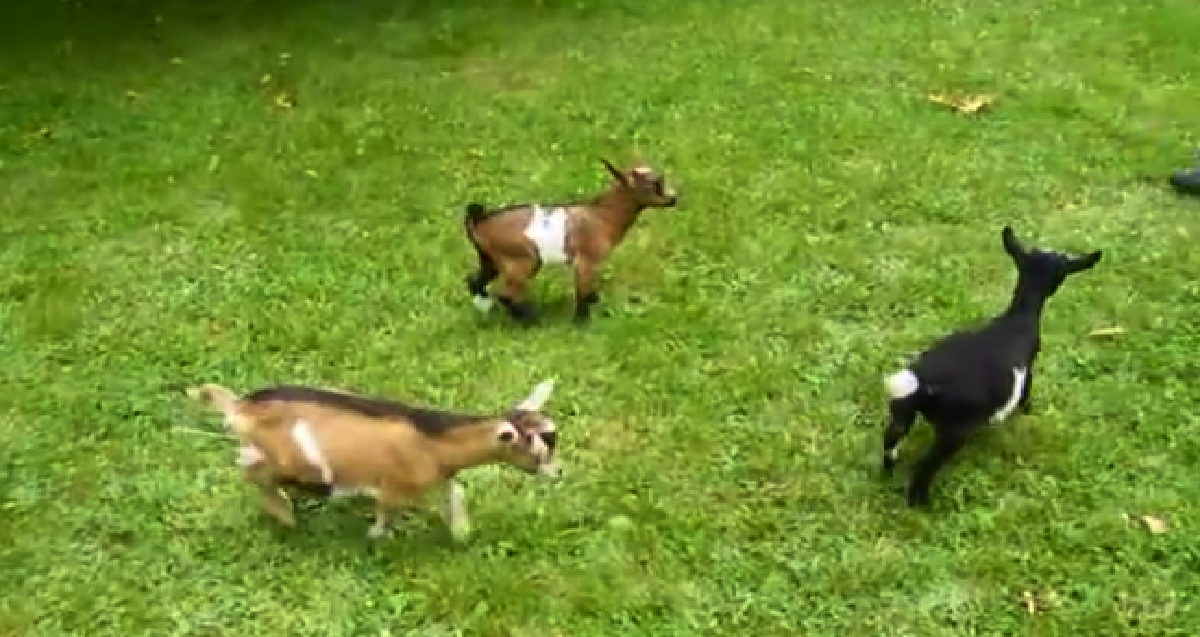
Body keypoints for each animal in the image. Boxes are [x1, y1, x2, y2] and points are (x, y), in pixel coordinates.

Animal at [186, 378, 561, 541]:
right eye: (537, 450)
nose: (558, 472)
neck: (433, 440)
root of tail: (240, 408)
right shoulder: (397, 486)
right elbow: (385, 511)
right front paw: (375, 536)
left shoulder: (440, 476)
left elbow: (456, 493)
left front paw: (461, 532)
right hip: (295, 462)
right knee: (253, 470)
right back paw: (285, 514)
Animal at [462, 158, 678, 325]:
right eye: (655, 185)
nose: (674, 198)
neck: (602, 215)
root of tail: (479, 220)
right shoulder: (585, 261)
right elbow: (582, 293)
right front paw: (580, 323)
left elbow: (588, 291)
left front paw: (594, 303)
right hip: (523, 260)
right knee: (506, 294)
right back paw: (532, 321)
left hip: (491, 259)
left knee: (475, 280)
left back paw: (486, 308)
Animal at [880, 226, 1103, 508]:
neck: (1018, 318)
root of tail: (923, 381)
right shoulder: (1027, 370)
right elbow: (1025, 393)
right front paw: (1028, 411)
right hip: (954, 430)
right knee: (925, 466)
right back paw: (920, 503)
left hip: (903, 407)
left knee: (891, 437)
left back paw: (887, 472)